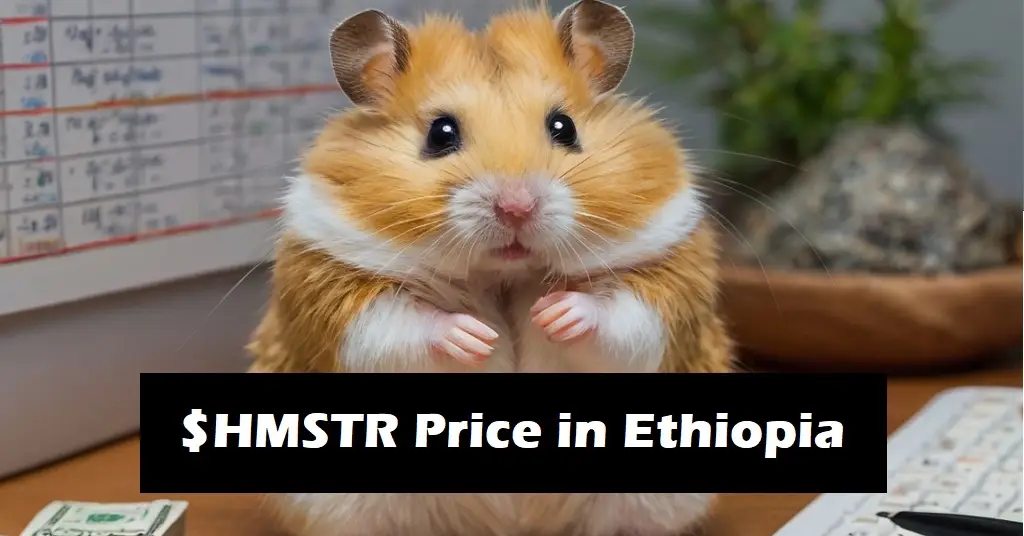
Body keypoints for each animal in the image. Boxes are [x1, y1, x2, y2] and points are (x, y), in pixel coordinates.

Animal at [247, 1, 734, 535]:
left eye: (564, 127)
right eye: (441, 133)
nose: (516, 207)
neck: (503, 275)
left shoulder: (665, 287)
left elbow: (624, 320)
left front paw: (554, 314)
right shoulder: (337, 297)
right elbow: (398, 329)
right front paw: (476, 336)